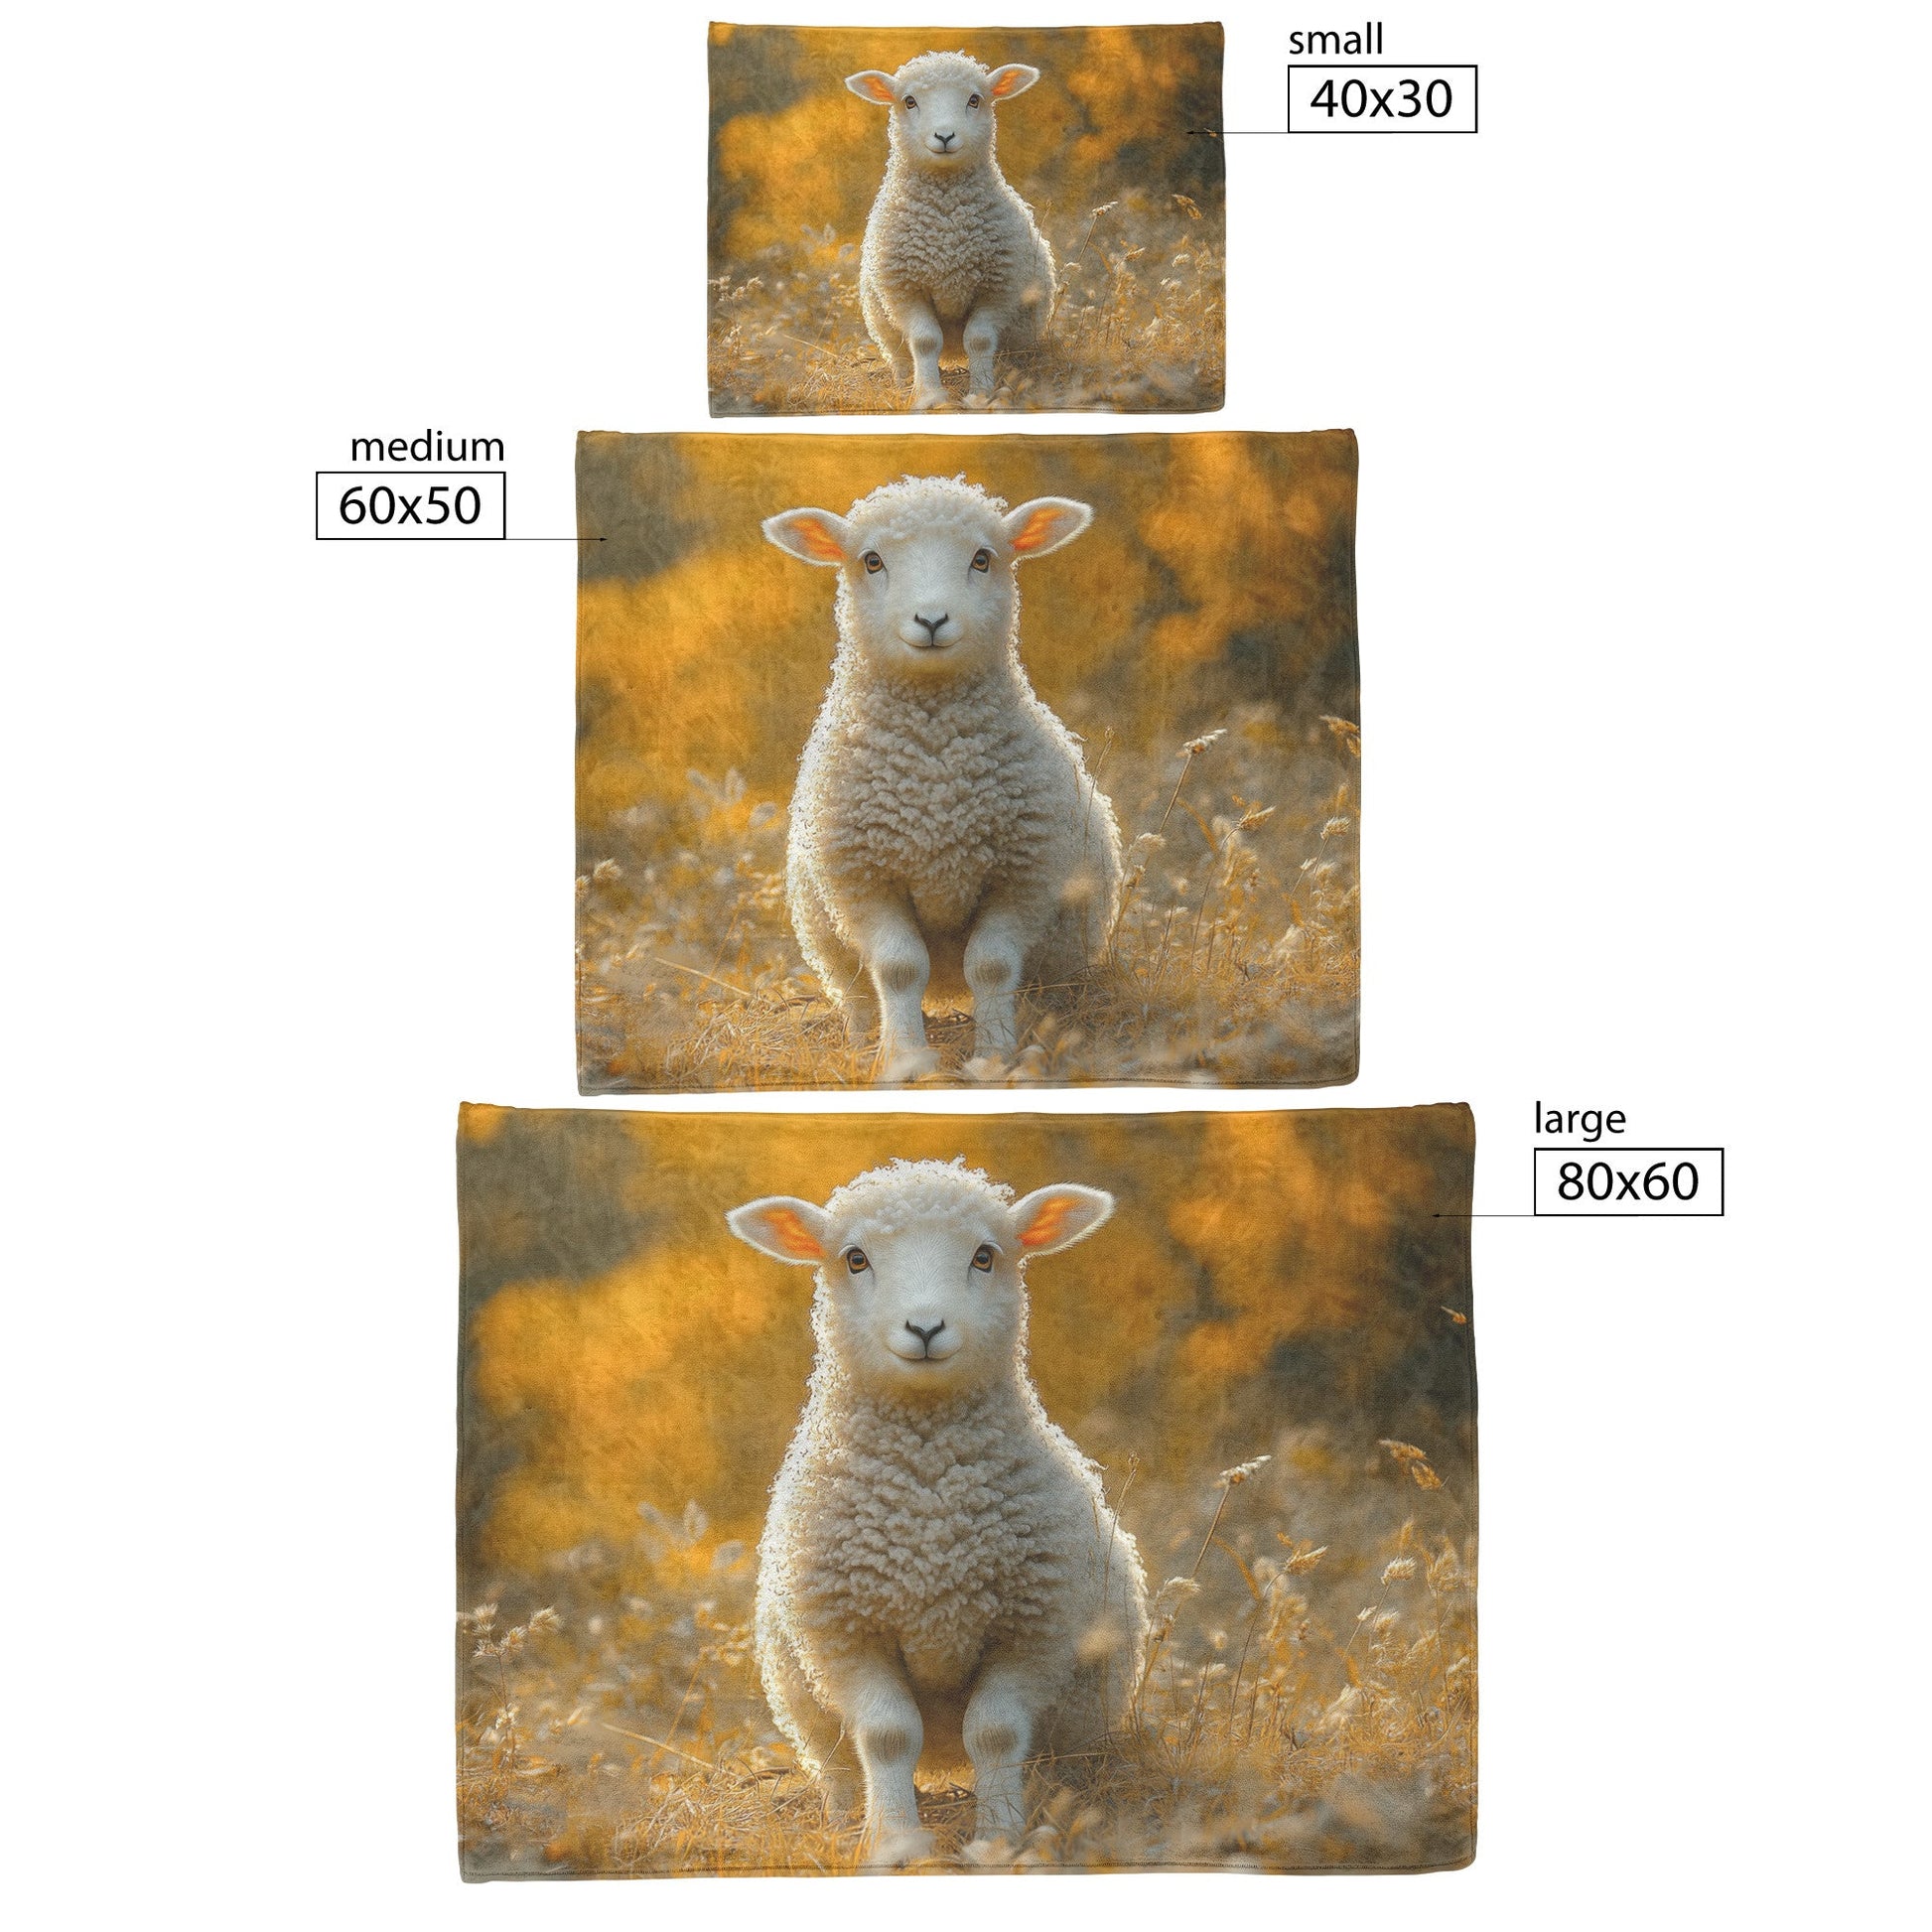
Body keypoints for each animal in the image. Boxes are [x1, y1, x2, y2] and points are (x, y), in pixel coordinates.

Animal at [727, 1157, 1148, 1864]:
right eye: (855, 1258)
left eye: (985, 1255)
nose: (925, 1328)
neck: (927, 1511)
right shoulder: (845, 1632)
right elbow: (888, 1736)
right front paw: (895, 1841)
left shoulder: (1033, 1628)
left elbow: (997, 1734)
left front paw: (998, 1838)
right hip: (803, 1706)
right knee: (841, 1770)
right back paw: (845, 1824)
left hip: (1083, 1714)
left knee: (1051, 1763)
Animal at [763, 474, 1123, 1081]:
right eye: (872, 561)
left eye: (982, 558)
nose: (931, 620)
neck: (934, 778)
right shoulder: (863, 879)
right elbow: (899, 969)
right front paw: (905, 1059)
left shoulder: (1024, 876)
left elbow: (993, 968)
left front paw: (993, 1056)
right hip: (827, 941)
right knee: (859, 995)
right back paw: (863, 1043)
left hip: (1066, 949)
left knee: (1041, 989)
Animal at [844, 51, 1056, 410]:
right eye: (909, 101)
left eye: (974, 99)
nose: (944, 136)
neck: (946, 227)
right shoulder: (904, 289)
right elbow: (925, 341)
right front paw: (929, 396)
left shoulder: (998, 287)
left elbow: (980, 340)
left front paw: (981, 393)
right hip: (884, 326)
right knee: (902, 356)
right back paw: (904, 383)